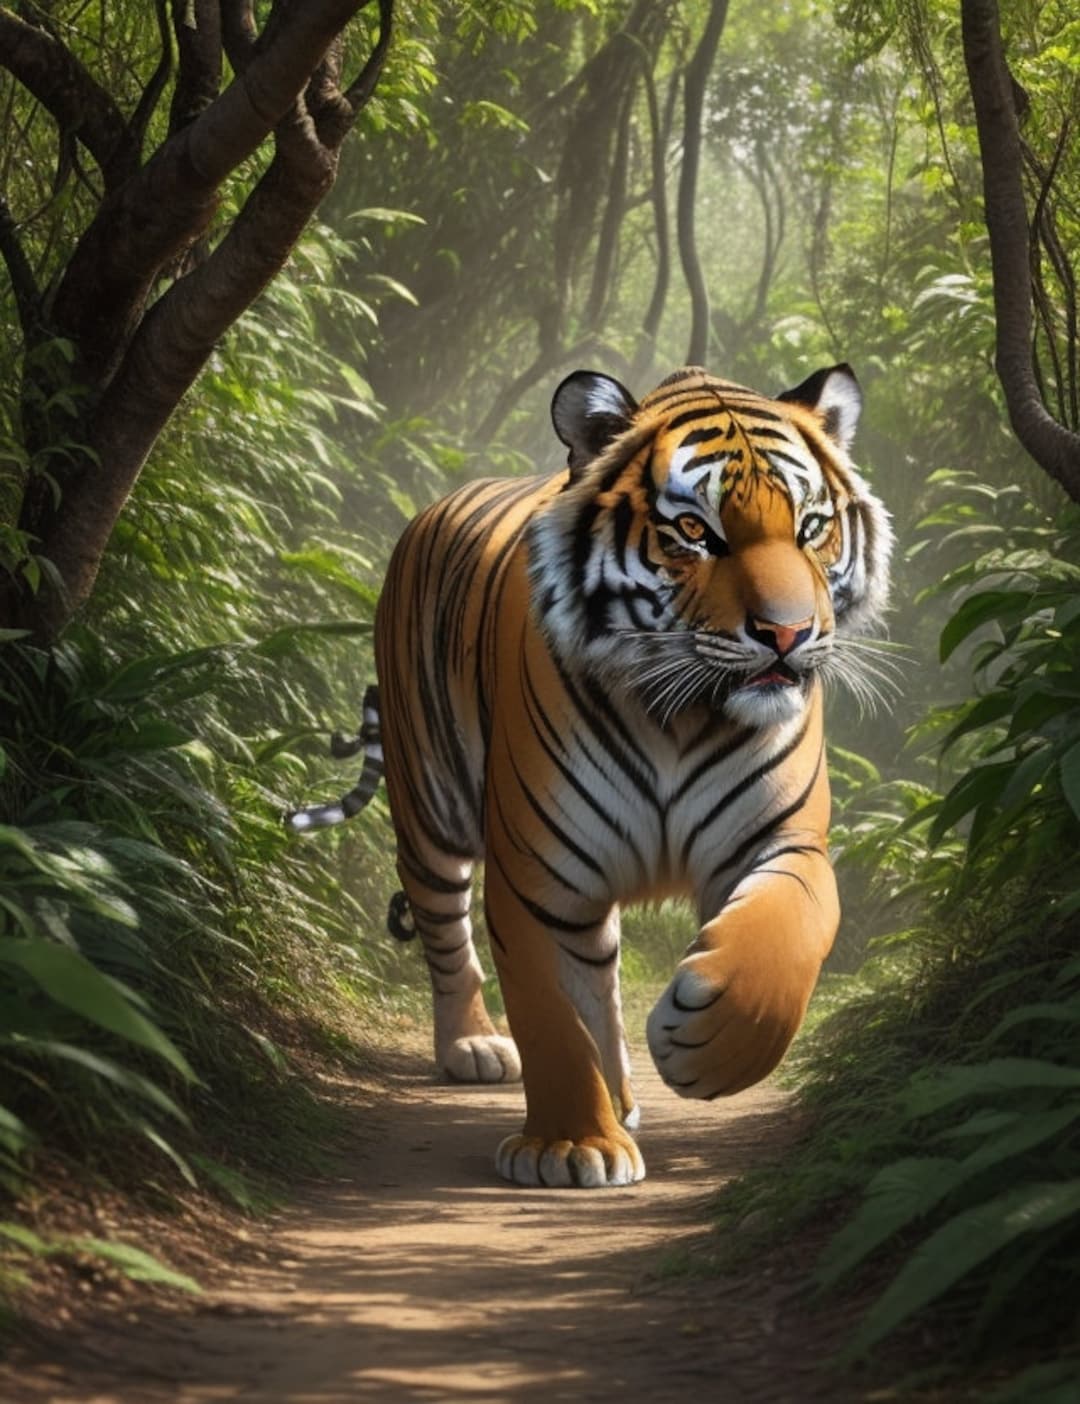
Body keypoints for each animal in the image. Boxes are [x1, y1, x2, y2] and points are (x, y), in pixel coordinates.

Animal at [288, 362, 893, 1189]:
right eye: (695, 531)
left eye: (809, 527)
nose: (790, 634)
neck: (681, 713)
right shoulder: (538, 875)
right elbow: (552, 1016)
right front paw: (570, 1147)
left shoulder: (782, 841)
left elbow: (784, 939)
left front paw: (708, 1046)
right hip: (433, 803)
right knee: (445, 925)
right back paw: (474, 1045)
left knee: (601, 970)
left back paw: (626, 1094)